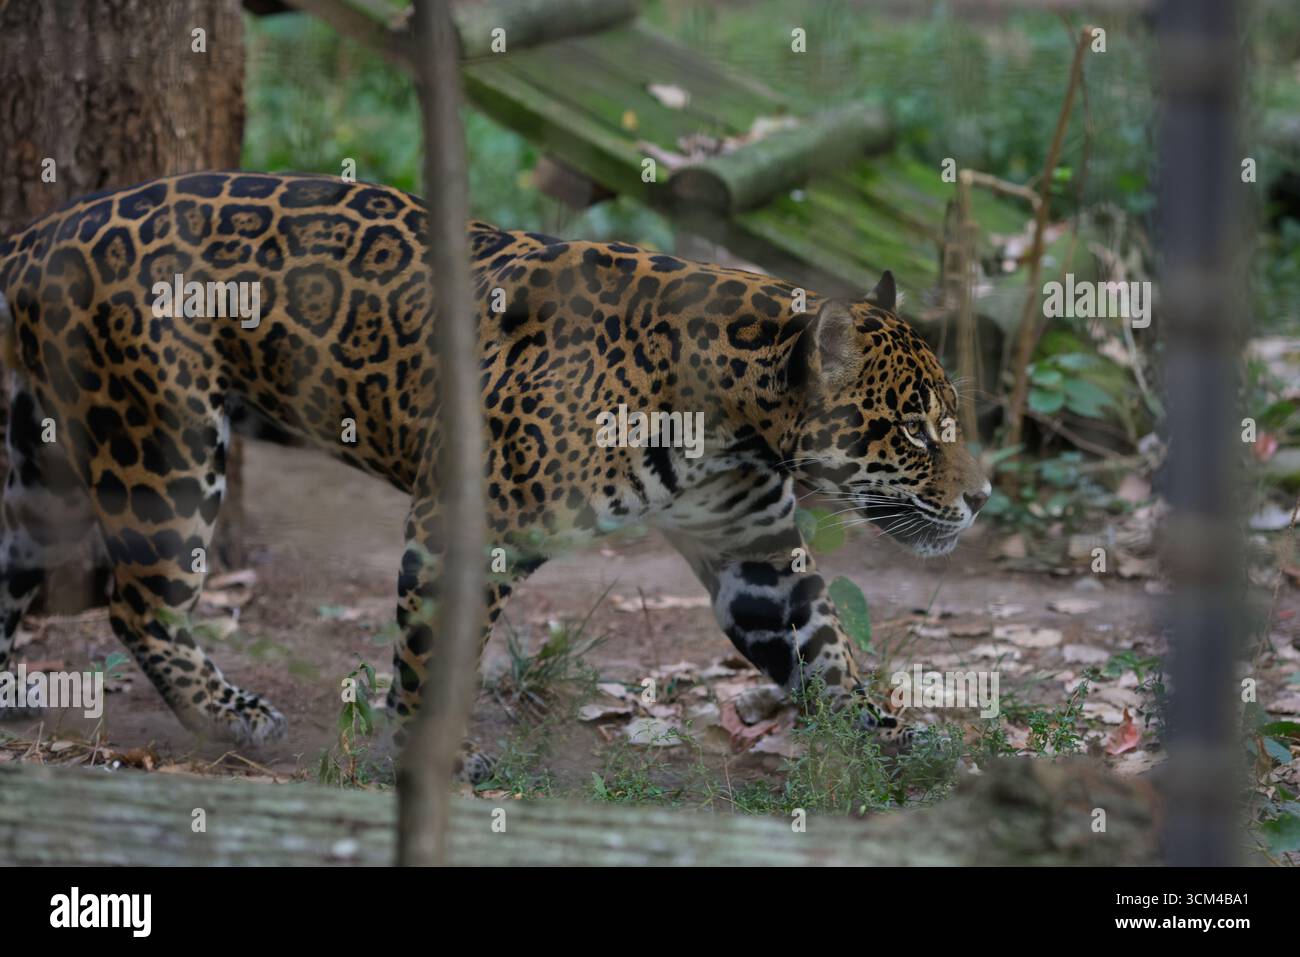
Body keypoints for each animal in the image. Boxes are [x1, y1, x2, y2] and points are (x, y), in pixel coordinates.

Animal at [0, 171, 989, 780]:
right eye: (914, 426)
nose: (982, 498)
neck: (733, 424)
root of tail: (42, 231)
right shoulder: (463, 523)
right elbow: (434, 653)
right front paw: (428, 756)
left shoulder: (754, 554)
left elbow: (824, 651)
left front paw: (897, 740)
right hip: (161, 442)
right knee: (136, 601)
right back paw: (231, 716)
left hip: (35, 462)